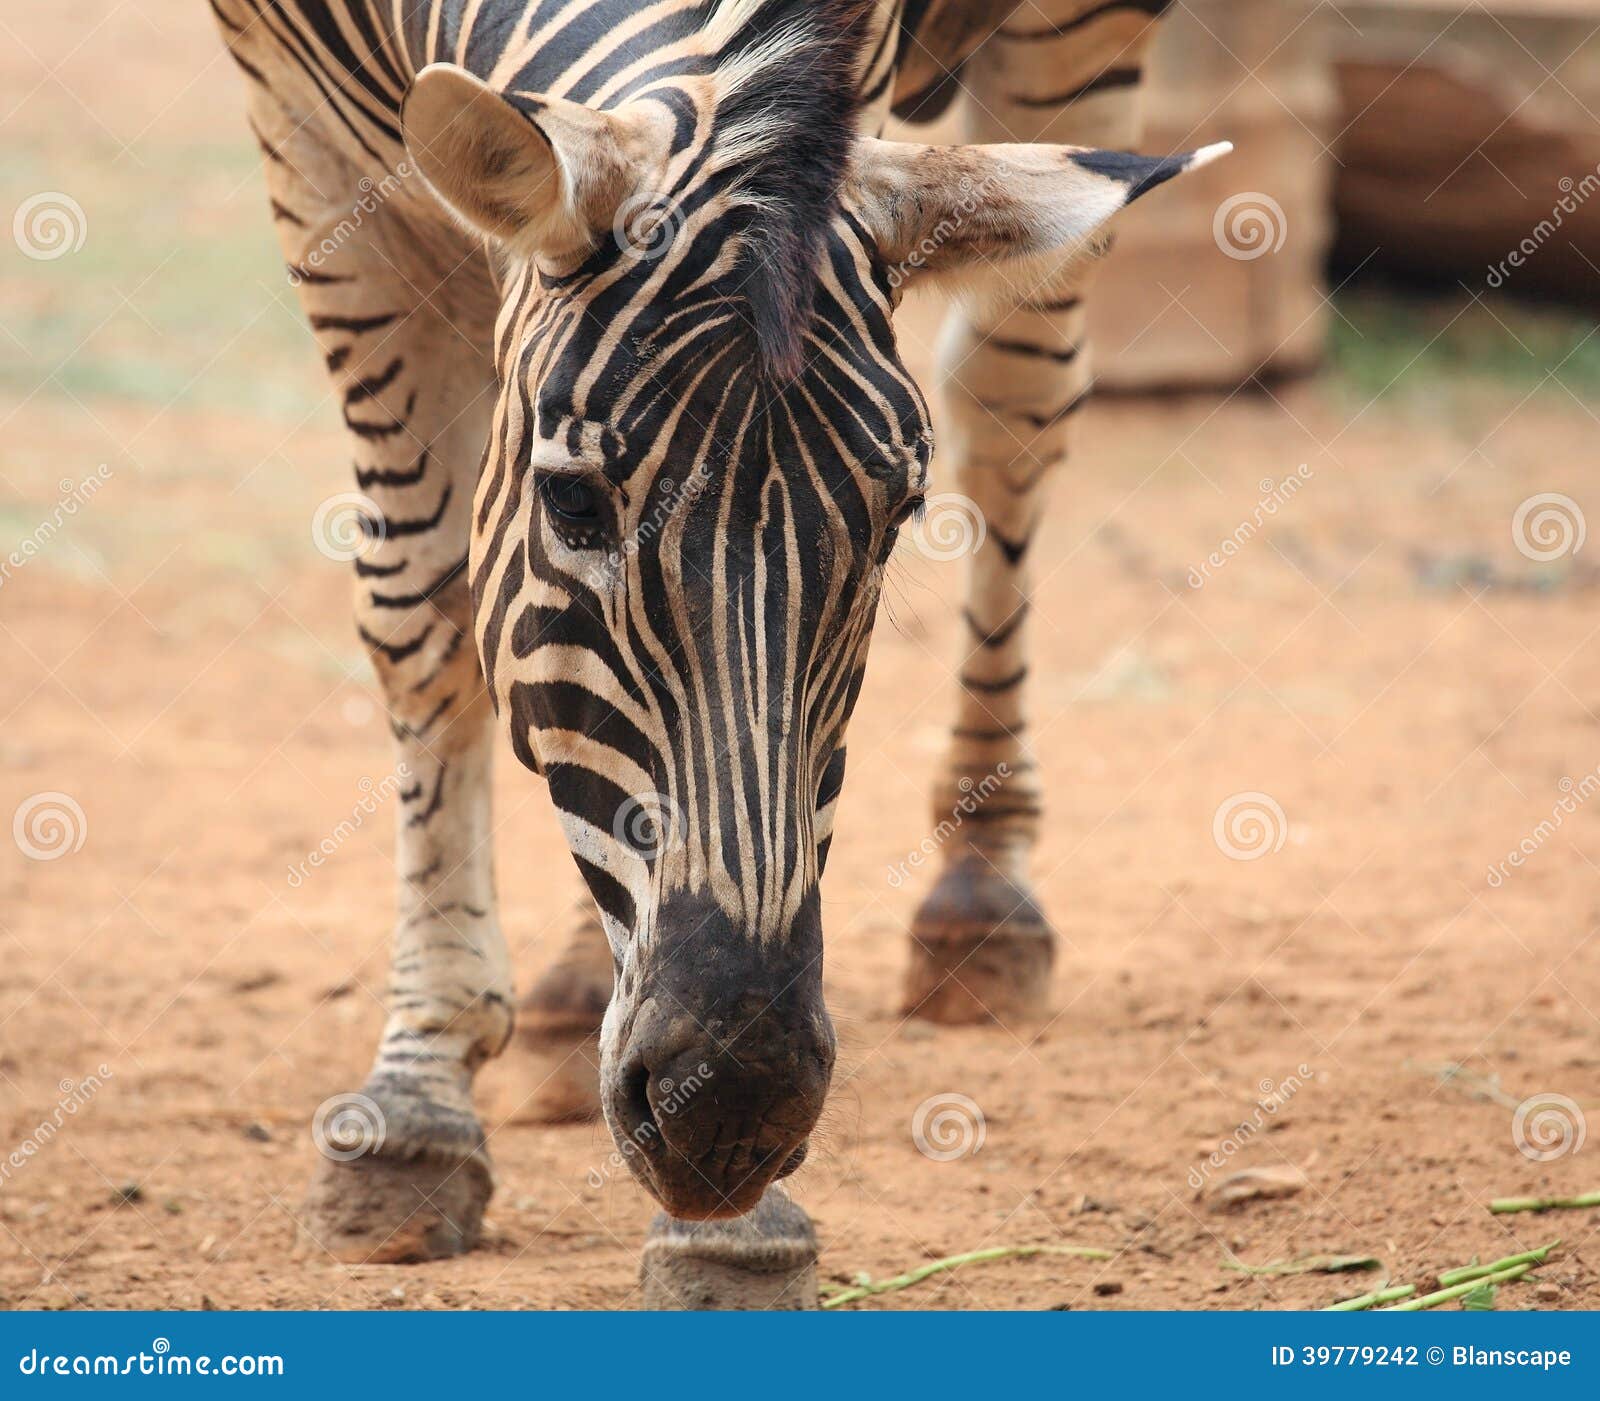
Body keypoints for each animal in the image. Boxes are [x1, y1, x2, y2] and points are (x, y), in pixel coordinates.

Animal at [213, 0, 1225, 1301]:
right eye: (573, 504)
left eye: (898, 516)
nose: (734, 1109)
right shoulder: (304, 131)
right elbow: (425, 613)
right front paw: (416, 1104)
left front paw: (732, 1234)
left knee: (1014, 400)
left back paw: (980, 896)